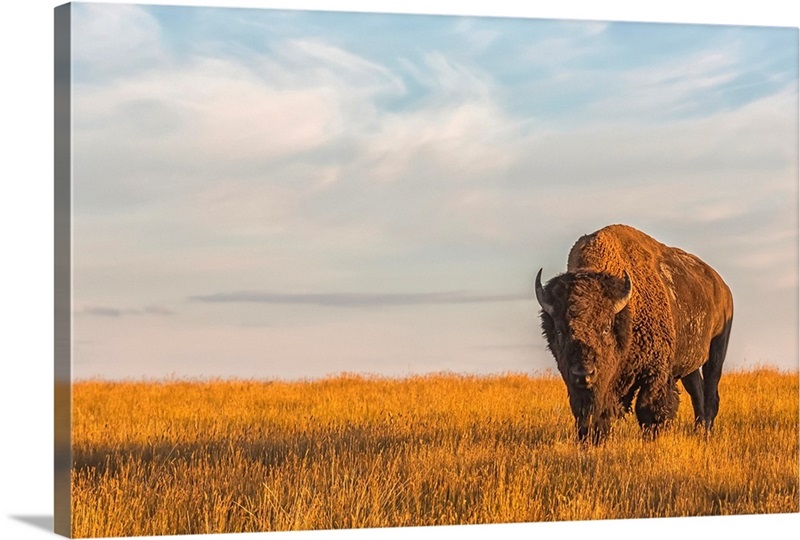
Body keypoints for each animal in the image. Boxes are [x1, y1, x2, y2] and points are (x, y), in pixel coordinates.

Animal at [535, 224, 733, 443]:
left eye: (606, 328)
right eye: (559, 331)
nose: (583, 374)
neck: (627, 311)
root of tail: (723, 287)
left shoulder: (655, 372)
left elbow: (648, 409)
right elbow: (591, 414)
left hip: (717, 350)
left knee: (710, 393)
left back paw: (706, 433)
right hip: (688, 363)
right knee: (696, 391)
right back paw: (698, 430)